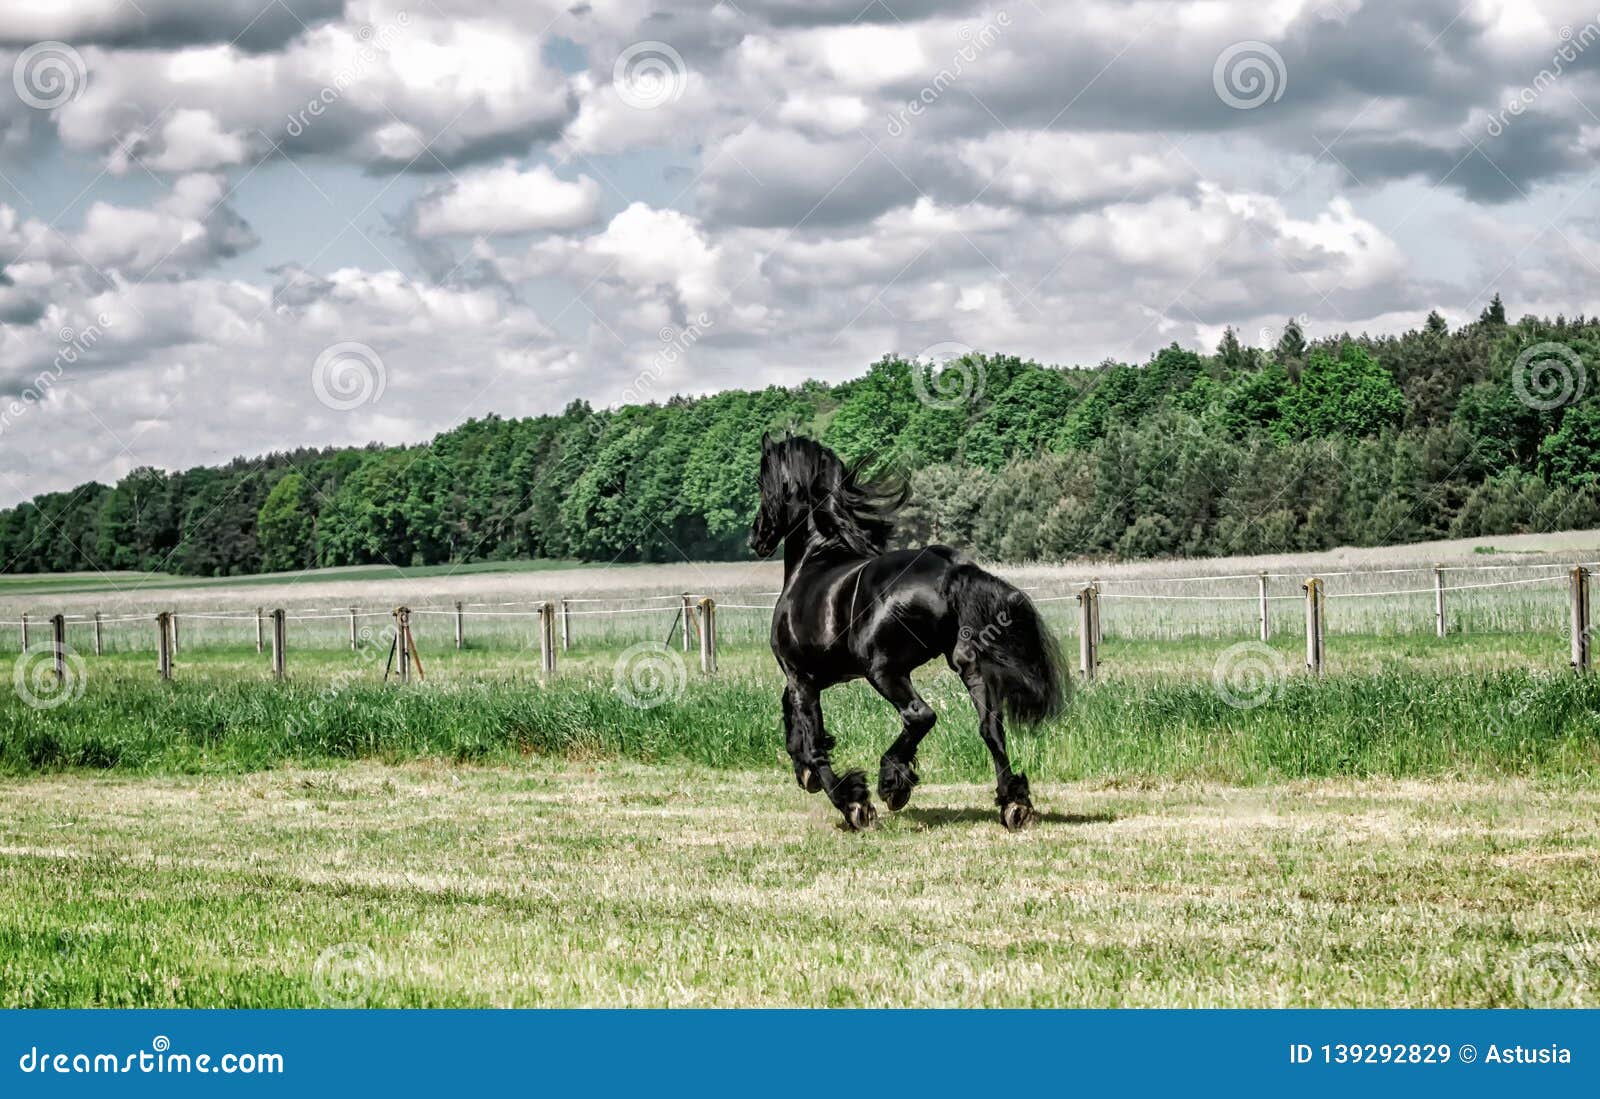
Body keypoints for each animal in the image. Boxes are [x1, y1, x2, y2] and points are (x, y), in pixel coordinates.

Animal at [749, 433, 1066, 831]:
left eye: (763, 484)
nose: (756, 537)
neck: (815, 559)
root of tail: (950, 570)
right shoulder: (822, 676)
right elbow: (792, 715)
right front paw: (803, 769)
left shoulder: (801, 676)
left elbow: (814, 737)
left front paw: (851, 801)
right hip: (970, 667)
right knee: (990, 728)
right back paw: (1014, 804)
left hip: (884, 672)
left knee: (920, 715)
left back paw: (891, 783)